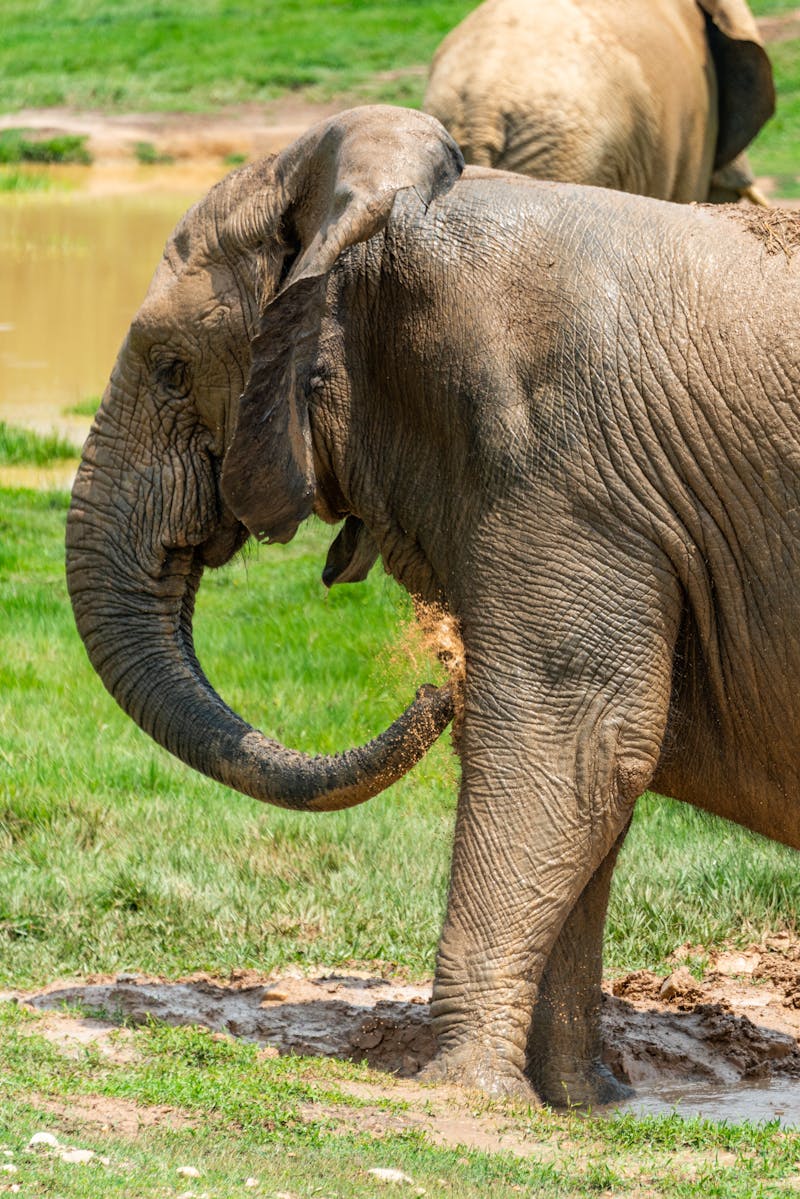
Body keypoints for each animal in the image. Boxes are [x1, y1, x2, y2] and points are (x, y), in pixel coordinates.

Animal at [67, 104, 800, 1107]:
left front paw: (459, 1091)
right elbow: (598, 765)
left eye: (174, 369)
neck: (400, 215)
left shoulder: (560, 473)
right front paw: (582, 1101)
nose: (435, 678)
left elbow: (571, 734)